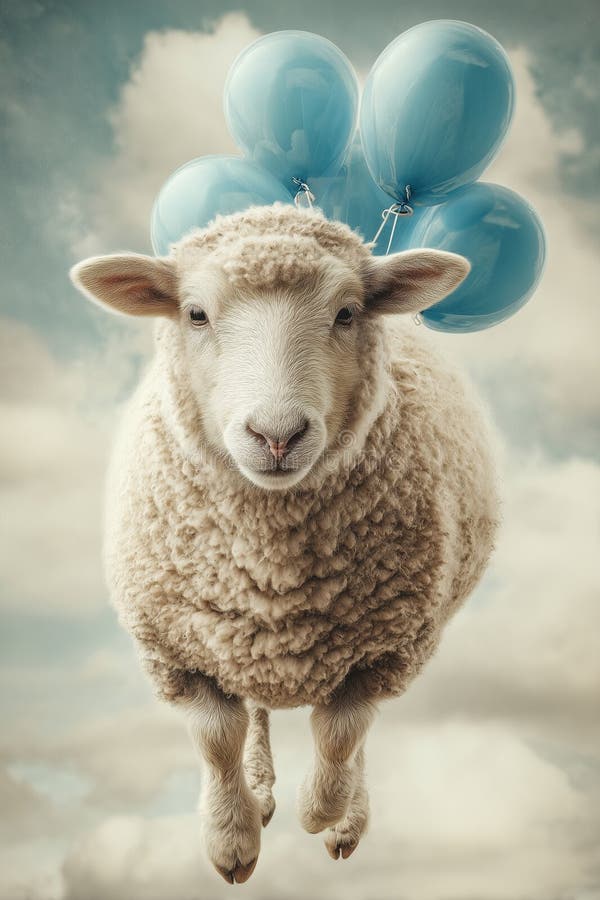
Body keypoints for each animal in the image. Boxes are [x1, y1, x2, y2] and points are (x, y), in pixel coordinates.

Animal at [70, 202, 499, 884]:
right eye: (196, 313)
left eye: (348, 312)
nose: (276, 435)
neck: (273, 567)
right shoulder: (176, 651)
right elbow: (217, 738)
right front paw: (232, 839)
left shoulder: (390, 648)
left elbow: (341, 735)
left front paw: (321, 811)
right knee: (257, 711)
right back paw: (262, 791)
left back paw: (343, 820)